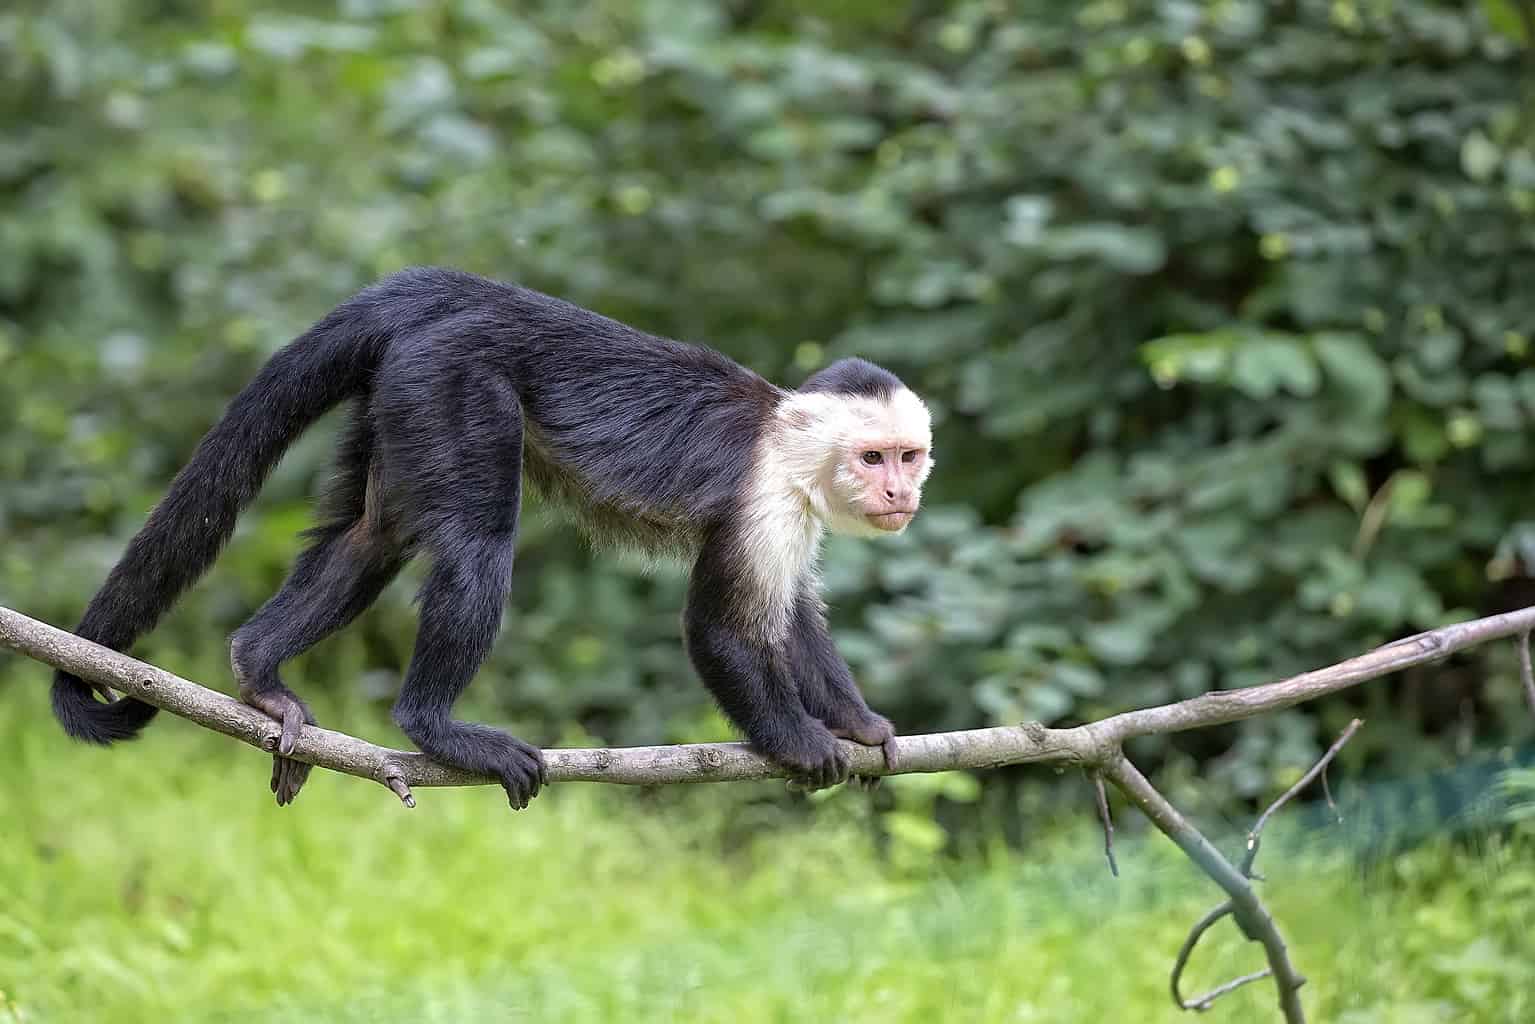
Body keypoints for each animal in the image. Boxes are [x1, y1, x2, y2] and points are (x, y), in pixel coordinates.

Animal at [50, 266, 935, 808]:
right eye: (872, 456)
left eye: (910, 455)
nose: (901, 492)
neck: (787, 447)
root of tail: (455, 297)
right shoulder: (765, 497)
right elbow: (719, 629)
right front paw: (799, 740)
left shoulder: (797, 509)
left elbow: (790, 620)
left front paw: (858, 726)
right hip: (451, 379)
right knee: (476, 544)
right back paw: (432, 727)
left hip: (402, 385)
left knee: (374, 535)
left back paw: (259, 672)